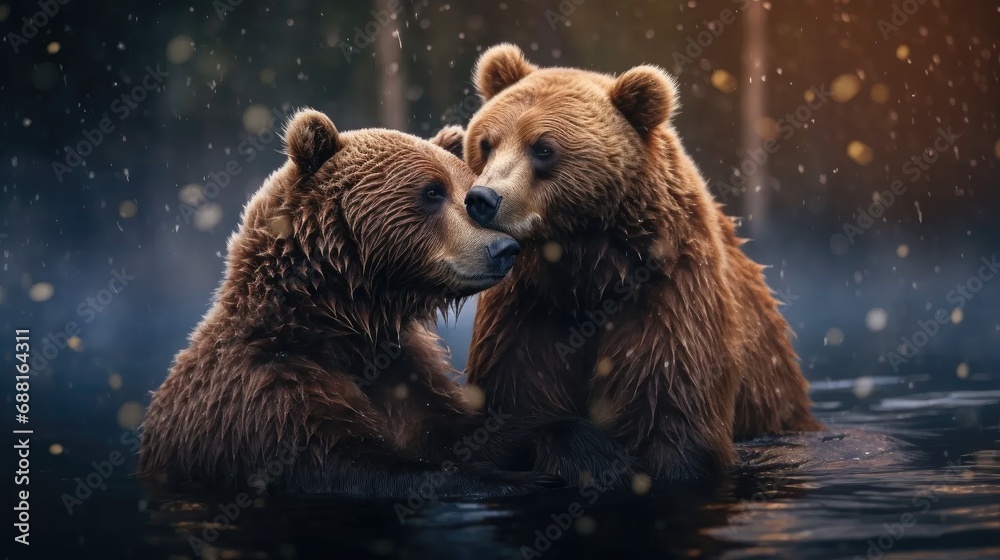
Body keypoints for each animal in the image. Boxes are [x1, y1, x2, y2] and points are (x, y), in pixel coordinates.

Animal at [137, 109, 631, 497]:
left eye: (468, 191)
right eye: (432, 191)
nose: (504, 249)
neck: (343, 326)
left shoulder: (404, 375)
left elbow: (462, 430)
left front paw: (589, 450)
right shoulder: (263, 394)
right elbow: (348, 466)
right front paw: (519, 480)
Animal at [459, 44, 823, 481]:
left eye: (543, 147)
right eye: (486, 143)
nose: (483, 198)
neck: (585, 272)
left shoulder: (667, 297)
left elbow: (671, 416)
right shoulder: (527, 307)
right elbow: (512, 400)